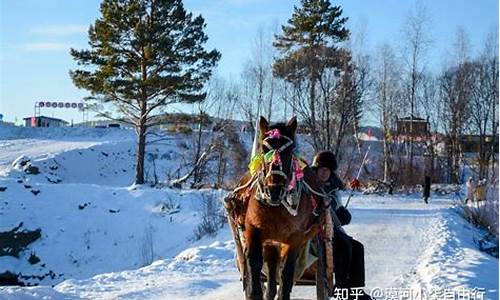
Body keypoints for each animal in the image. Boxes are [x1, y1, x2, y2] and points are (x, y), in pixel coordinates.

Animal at [236, 116, 326, 298]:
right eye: (264, 148)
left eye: (290, 150)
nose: (274, 189)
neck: (276, 206)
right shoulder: (253, 231)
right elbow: (254, 264)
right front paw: (254, 291)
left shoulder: (295, 238)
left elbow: (286, 273)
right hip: (271, 243)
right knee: (271, 273)